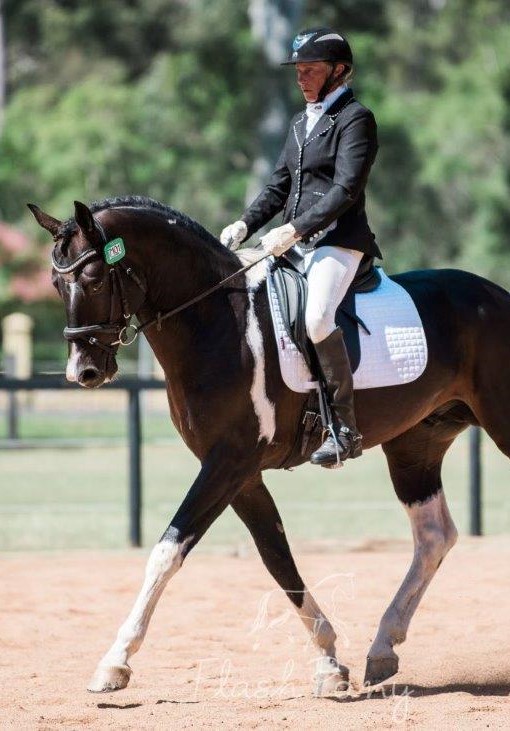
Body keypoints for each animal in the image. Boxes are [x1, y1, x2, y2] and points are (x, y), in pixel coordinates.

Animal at [29, 195, 509, 695]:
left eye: (93, 278)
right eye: (55, 283)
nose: (83, 372)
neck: (216, 323)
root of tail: (497, 296)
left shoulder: (229, 463)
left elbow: (167, 551)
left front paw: (114, 662)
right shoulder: (241, 474)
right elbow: (277, 558)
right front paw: (329, 661)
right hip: (415, 446)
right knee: (434, 537)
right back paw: (383, 648)